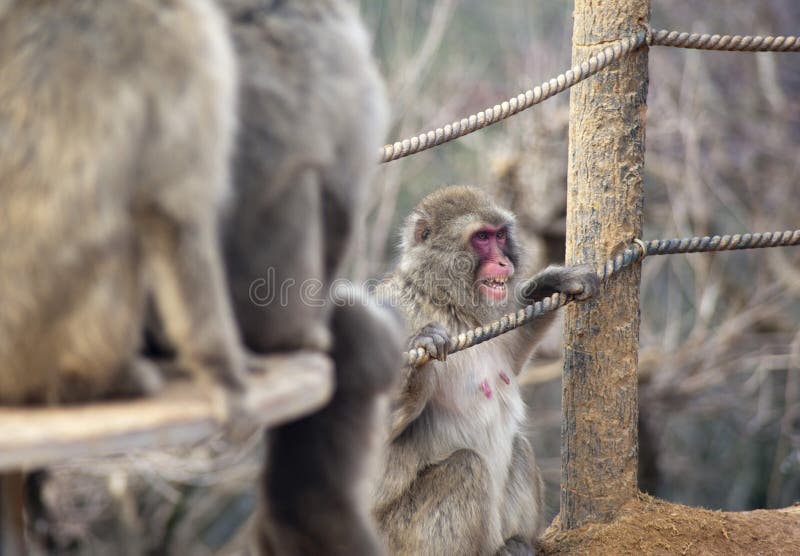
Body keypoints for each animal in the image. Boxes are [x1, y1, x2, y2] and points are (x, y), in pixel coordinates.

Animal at [0, 0, 247, 404]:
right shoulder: (181, 44)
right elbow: (173, 211)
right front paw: (224, 372)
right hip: (29, 349)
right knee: (123, 239)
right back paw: (94, 382)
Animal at [371, 186, 600, 556]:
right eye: (481, 237)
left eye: (501, 236)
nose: (504, 262)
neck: (446, 303)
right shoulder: (394, 311)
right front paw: (422, 346)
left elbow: (514, 357)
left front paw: (549, 283)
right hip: (395, 538)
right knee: (465, 466)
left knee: (519, 446)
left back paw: (516, 543)